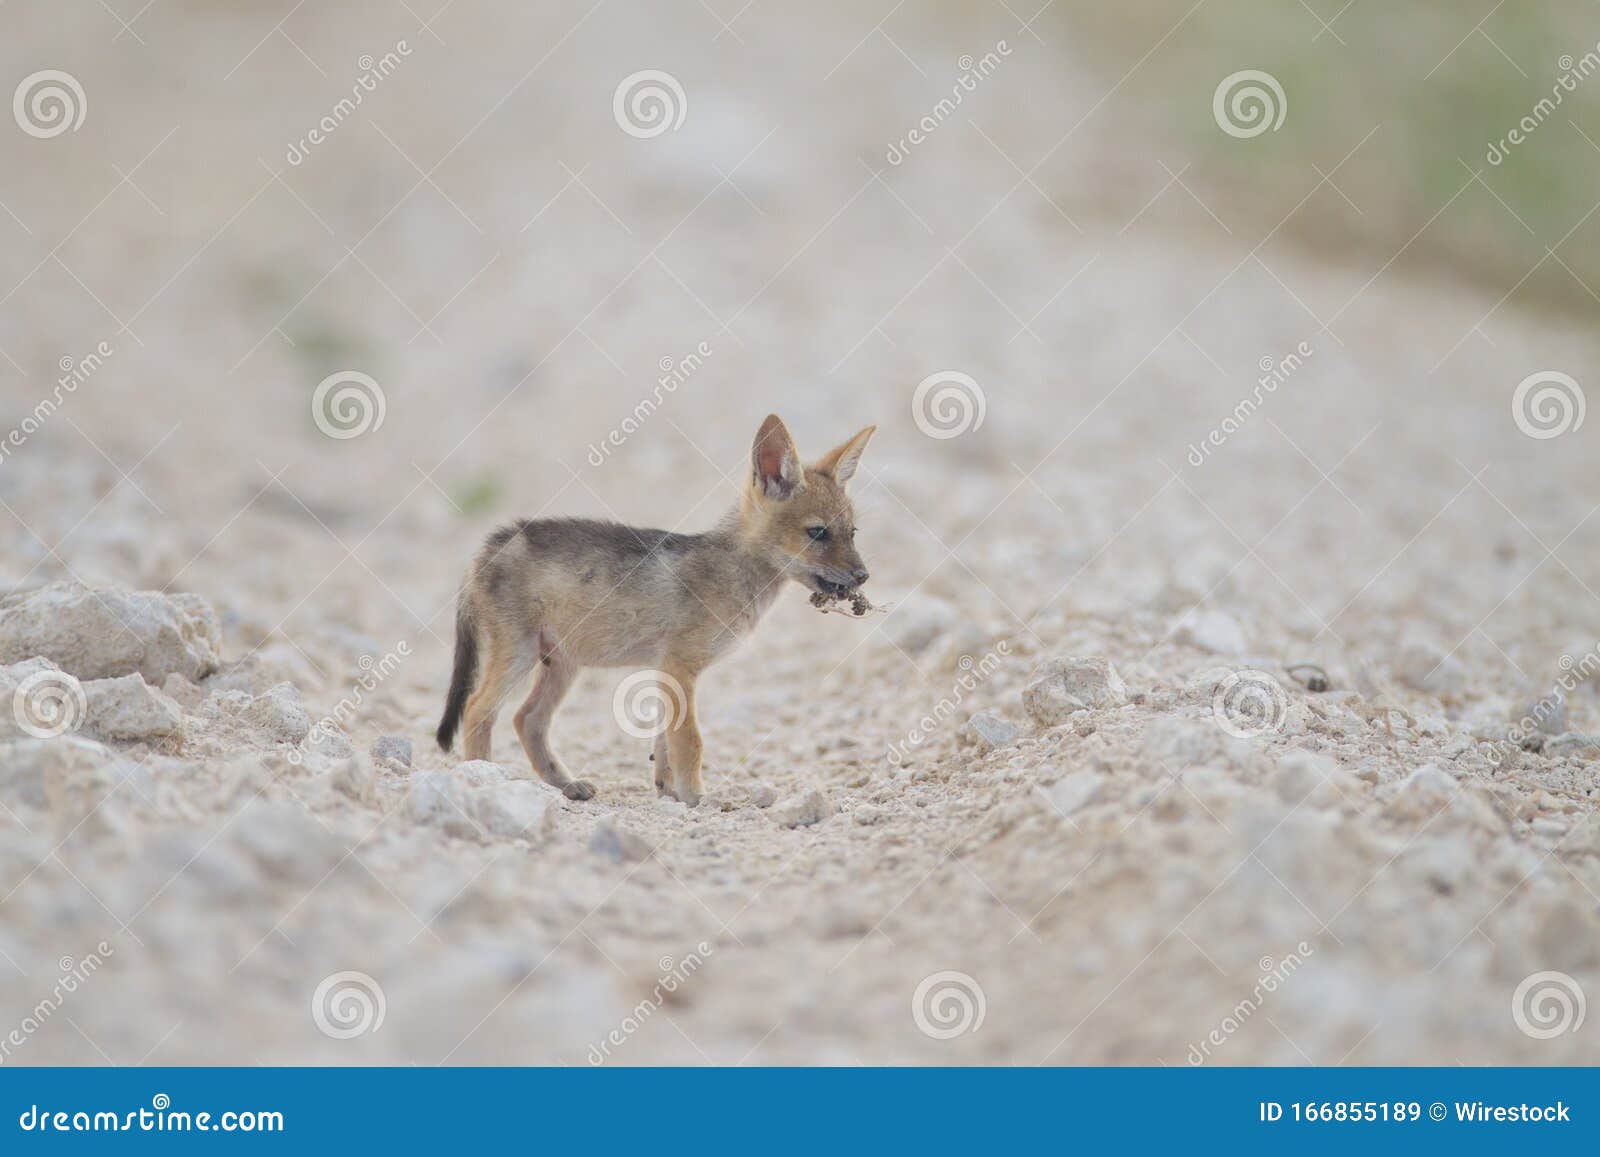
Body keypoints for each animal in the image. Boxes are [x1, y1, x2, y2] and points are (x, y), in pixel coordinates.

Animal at [435, 414, 875, 807]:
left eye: (852, 533)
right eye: (818, 533)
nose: (863, 575)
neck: (732, 571)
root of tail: (490, 543)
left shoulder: (666, 671)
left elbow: (665, 745)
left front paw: (670, 792)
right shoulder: (679, 667)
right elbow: (690, 741)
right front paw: (697, 797)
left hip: (561, 665)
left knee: (527, 720)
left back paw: (566, 785)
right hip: (521, 656)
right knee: (477, 710)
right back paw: (484, 779)